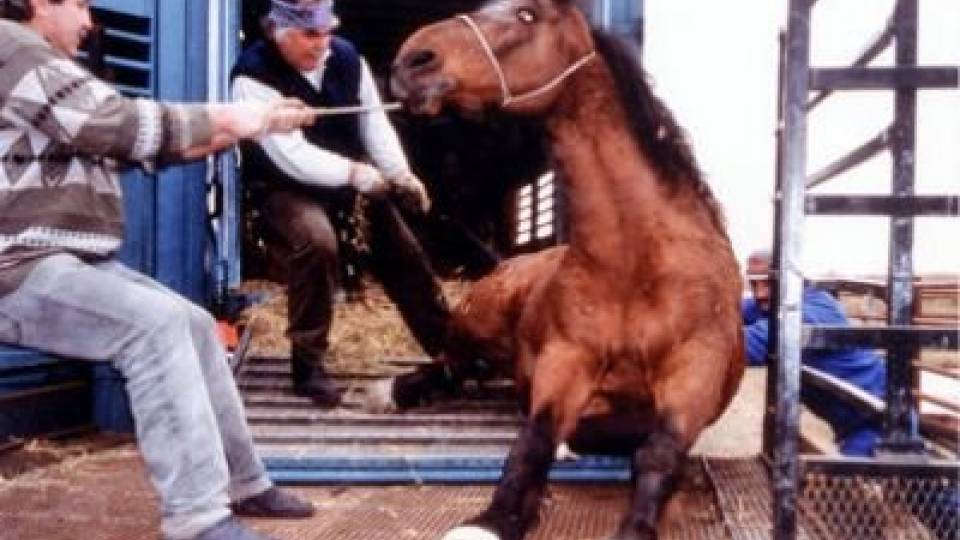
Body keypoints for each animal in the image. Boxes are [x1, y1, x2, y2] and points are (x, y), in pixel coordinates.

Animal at [387, 1, 745, 538]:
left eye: (526, 14)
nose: (413, 60)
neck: (635, 266)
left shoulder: (696, 367)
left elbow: (658, 452)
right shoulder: (567, 360)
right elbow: (533, 442)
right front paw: (493, 519)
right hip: (475, 325)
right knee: (447, 365)